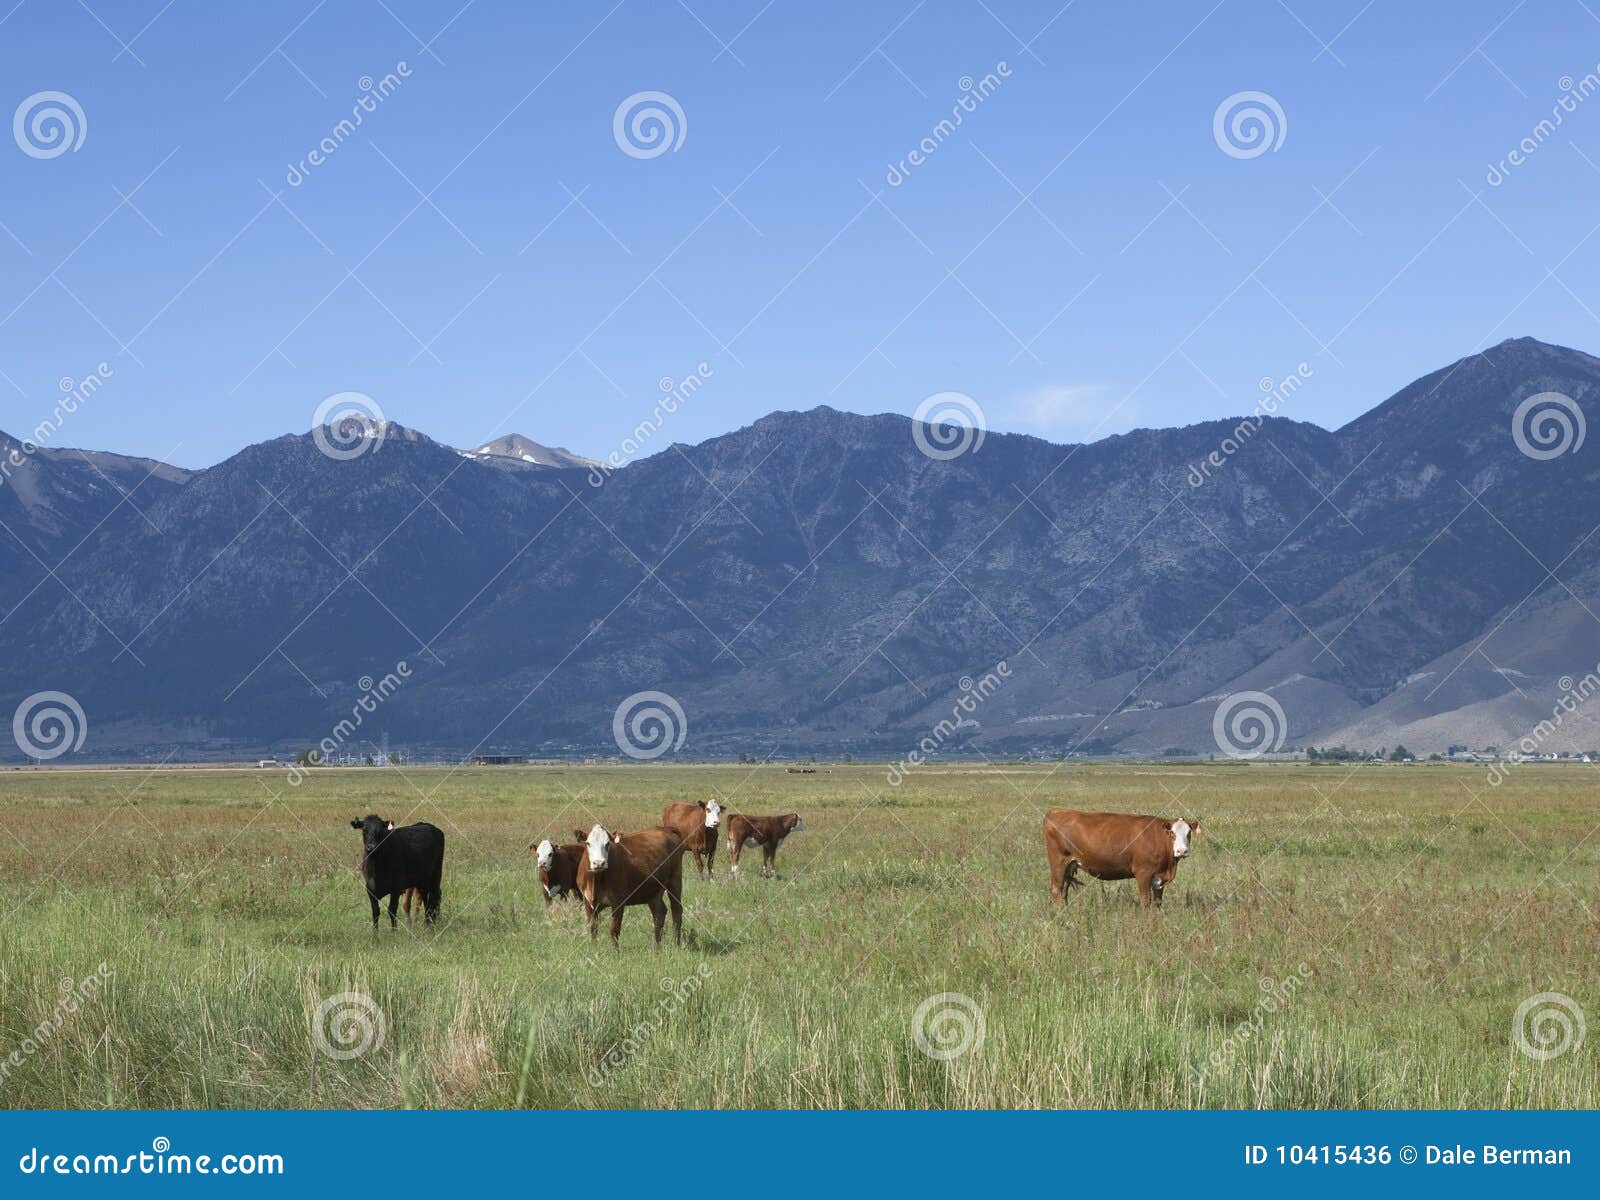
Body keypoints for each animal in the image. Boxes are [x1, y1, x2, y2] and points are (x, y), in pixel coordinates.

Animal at [1042, 809, 1200, 907]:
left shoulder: (1159, 878)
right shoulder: (1143, 873)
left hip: (1070, 865)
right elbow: (1145, 901)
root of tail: (1056, 811)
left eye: (1189, 833)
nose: (1182, 851)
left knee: (1064, 890)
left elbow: (1158, 902)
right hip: (1058, 863)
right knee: (1056, 889)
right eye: (1172, 833)